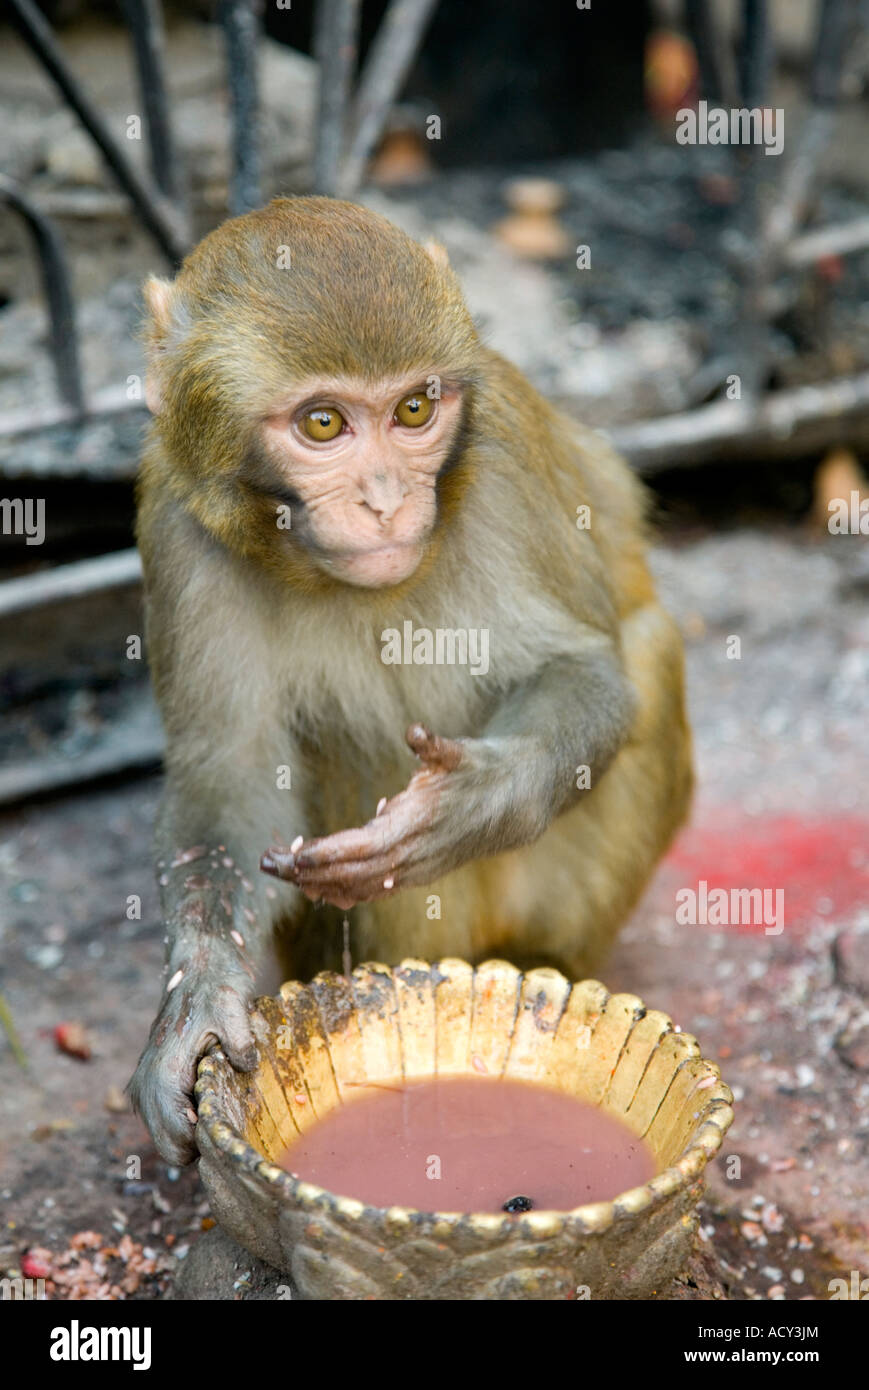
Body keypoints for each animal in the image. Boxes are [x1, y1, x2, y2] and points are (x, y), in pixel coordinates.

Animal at [128, 196, 692, 1165]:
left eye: (415, 408)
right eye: (323, 424)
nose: (388, 500)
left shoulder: (501, 454)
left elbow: (590, 672)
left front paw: (462, 806)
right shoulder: (177, 525)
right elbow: (227, 774)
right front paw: (198, 997)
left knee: (647, 652)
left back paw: (547, 976)